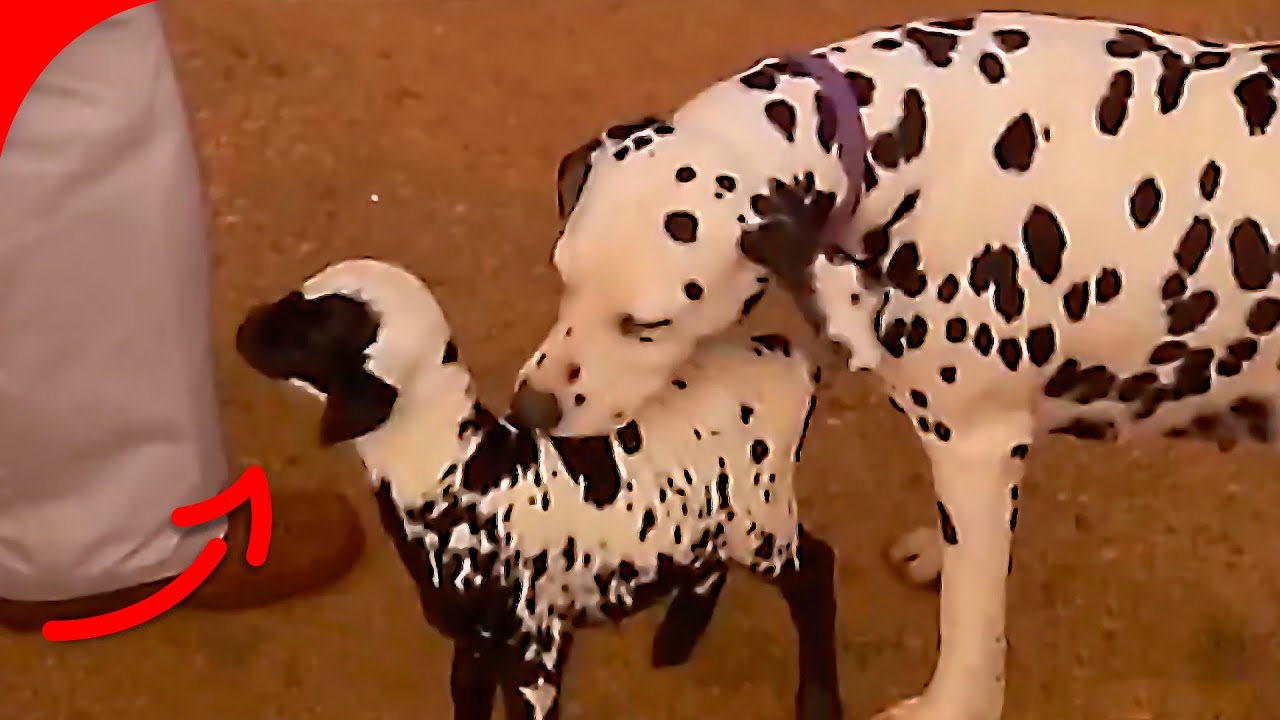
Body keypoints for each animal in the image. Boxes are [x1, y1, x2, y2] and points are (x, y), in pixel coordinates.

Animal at [234, 258, 842, 720]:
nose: (245, 326)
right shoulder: (475, 642)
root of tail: (785, 355)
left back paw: (818, 703)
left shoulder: (535, 653)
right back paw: (676, 639)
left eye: (316, 327)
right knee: (709, 561)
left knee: (814, 570)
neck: (463, 471)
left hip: (763, 518)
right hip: (711, 512)